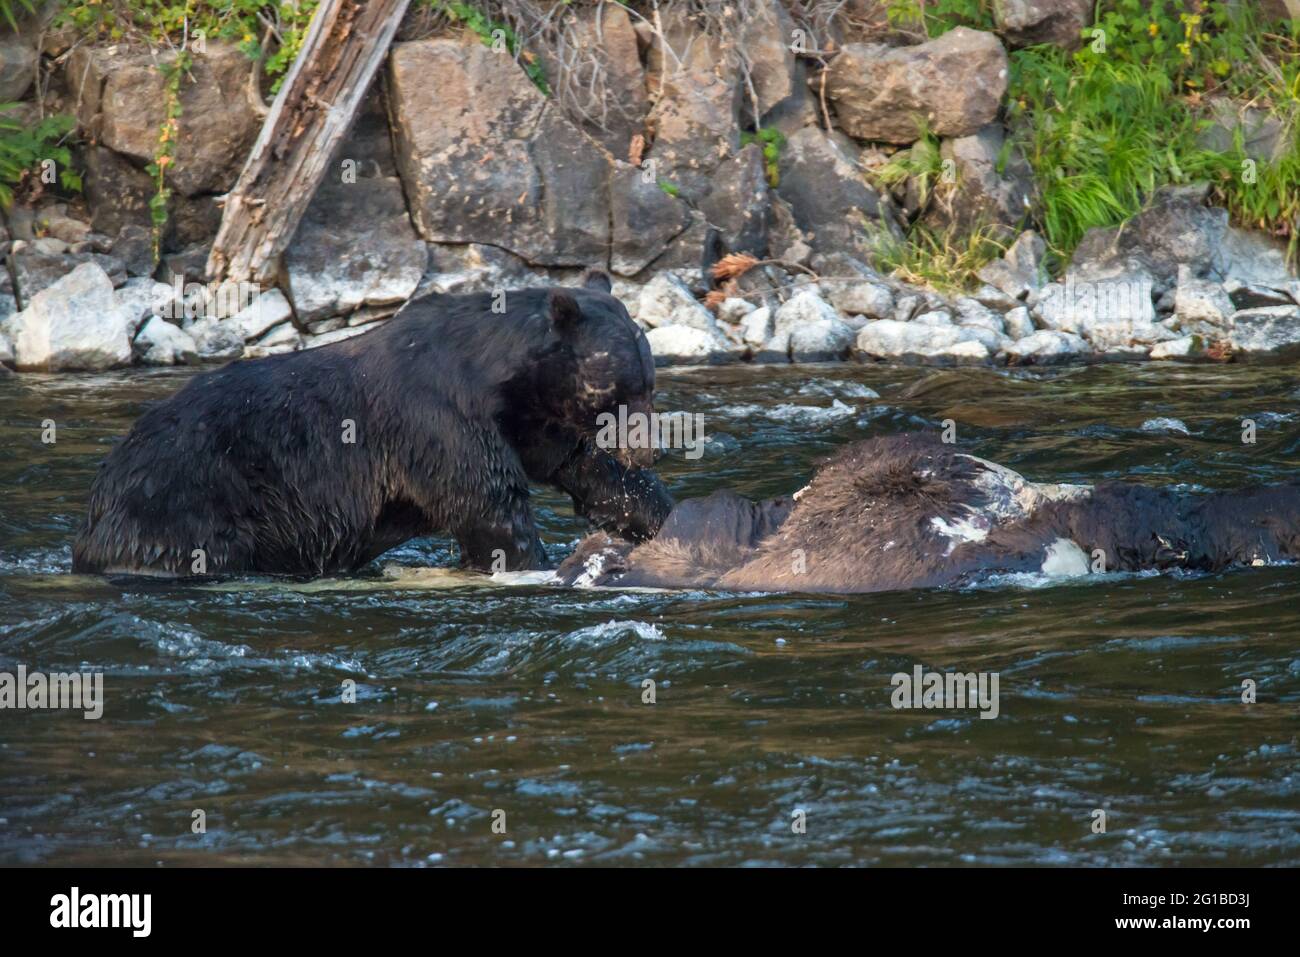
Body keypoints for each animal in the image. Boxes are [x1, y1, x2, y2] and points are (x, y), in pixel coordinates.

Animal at [72, 270, 674, 578]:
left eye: (649, 383)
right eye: (626, 390)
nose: (650, 451)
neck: (498, 379)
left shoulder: (532, 421)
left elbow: (586, 470)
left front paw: (656, 513)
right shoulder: (437, 419)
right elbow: (487, 503)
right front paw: (534, 559)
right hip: (186, 501)